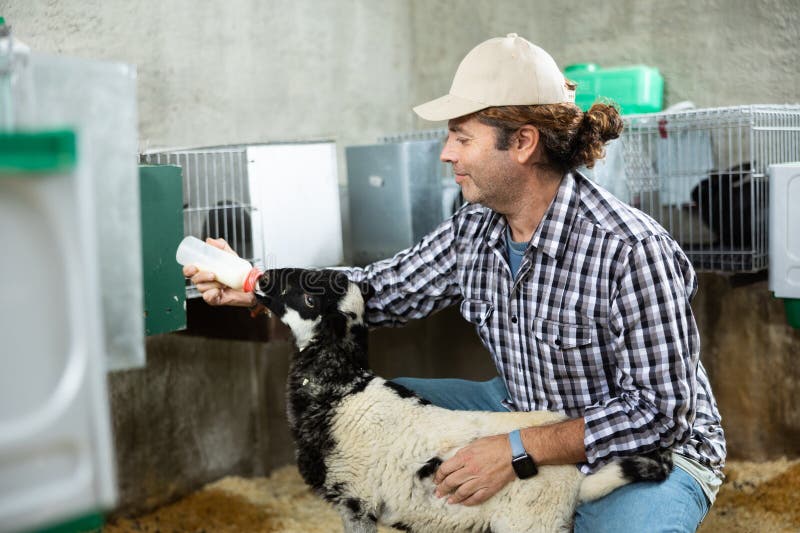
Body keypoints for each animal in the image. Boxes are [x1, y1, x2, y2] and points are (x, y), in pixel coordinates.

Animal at [253, 267, 672, 533]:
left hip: (529, 523)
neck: (342, 390)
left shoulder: (356, 499)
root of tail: (576, 483)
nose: (261, 278)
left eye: (310, 296)